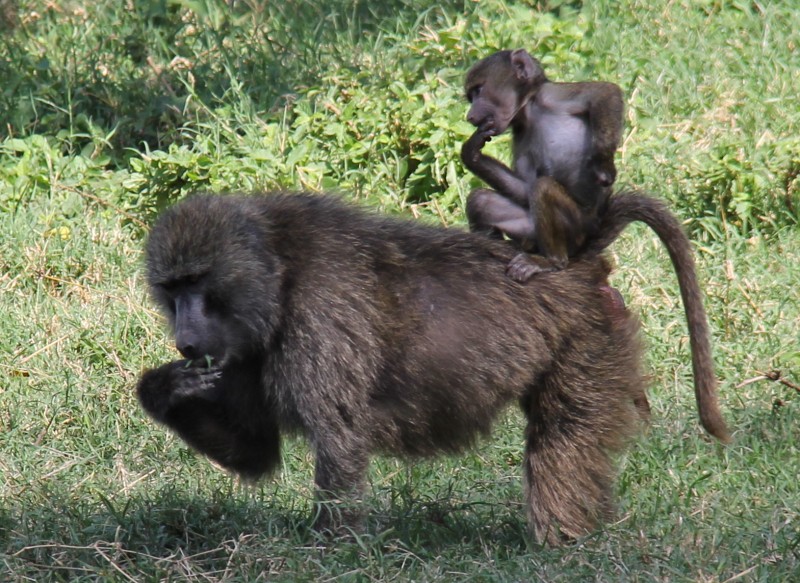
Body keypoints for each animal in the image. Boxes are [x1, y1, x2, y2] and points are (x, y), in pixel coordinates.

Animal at [136, 191, 727, 544]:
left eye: (199, 283)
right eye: (172, 289)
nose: (186, 342)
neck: (278, 271)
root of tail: (575, 264)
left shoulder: (320, 316)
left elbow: (339, 438)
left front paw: (327, 554)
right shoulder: (238, 355)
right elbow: (256, 453)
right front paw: (165, 388)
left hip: (586, 341)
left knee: (561, 442)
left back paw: (563, 544)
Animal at [461, 48, 624, 282]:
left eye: (479, 90)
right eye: (471, 97)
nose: (471, 116)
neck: (530, 112)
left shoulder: (553, 96)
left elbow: (605, 92)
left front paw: (603, 163)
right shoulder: (519, 137)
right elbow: (525, 188)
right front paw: (470, 152)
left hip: (577, 228)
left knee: (543, 188)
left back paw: (553, 262)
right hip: (533, 231)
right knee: (481, 201)